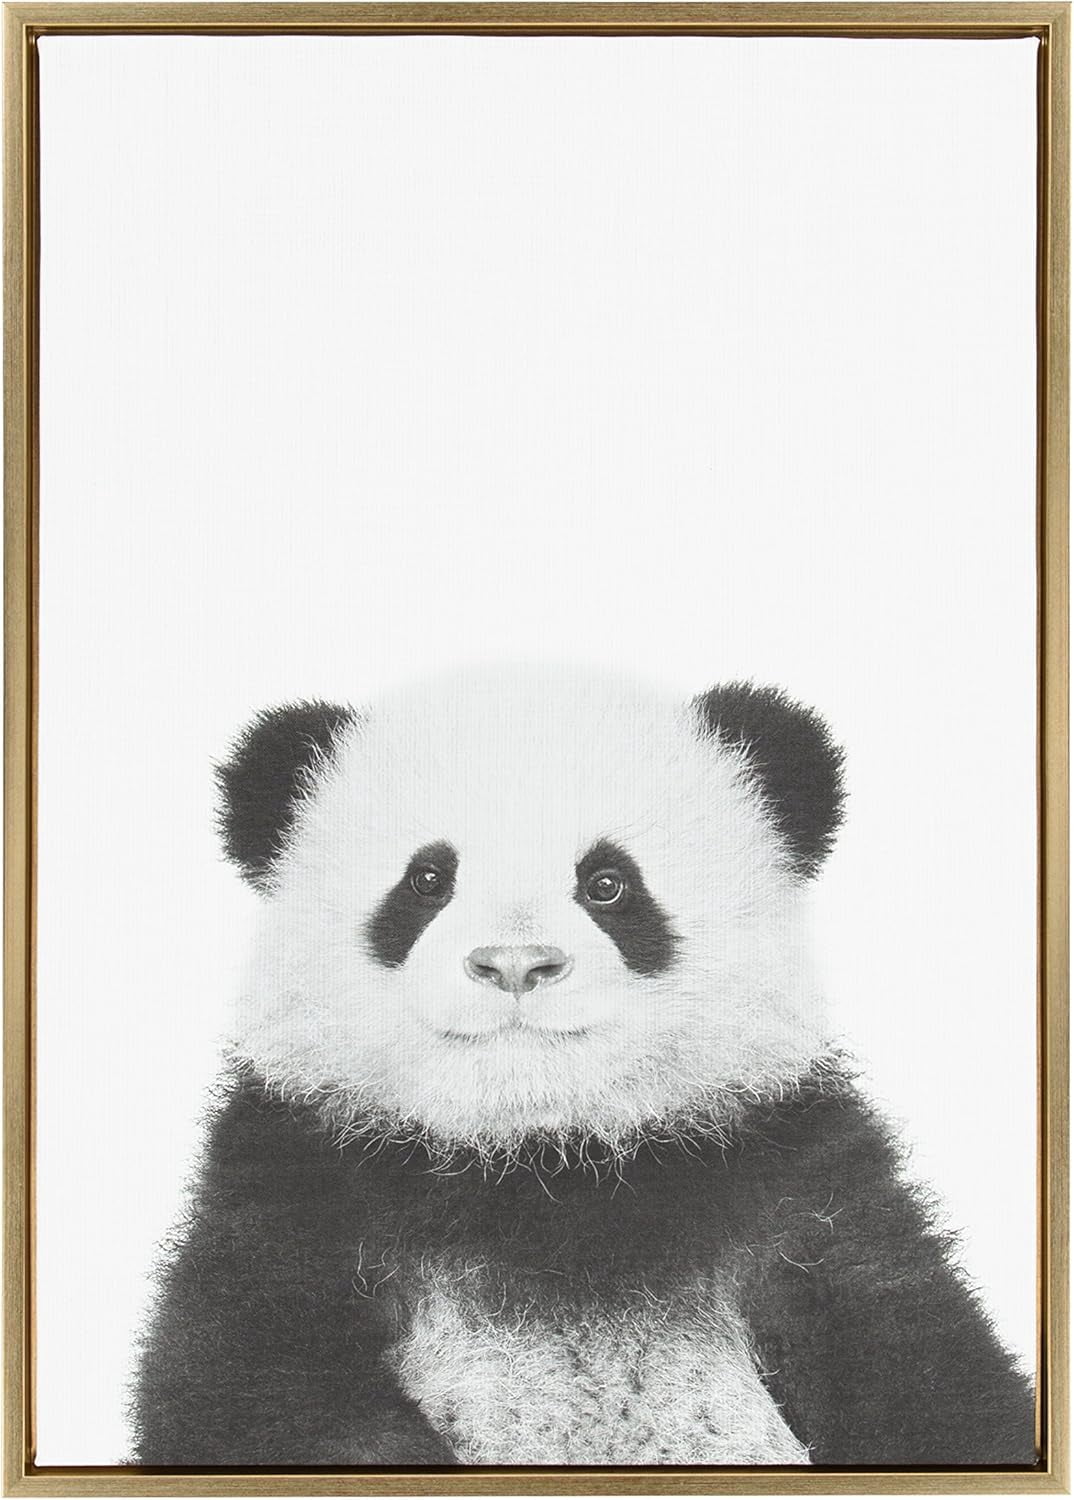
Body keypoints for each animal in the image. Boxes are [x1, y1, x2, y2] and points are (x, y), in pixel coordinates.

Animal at [133, 666, 1035, 1468]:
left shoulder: (792, 1172)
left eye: (608, 883)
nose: (515, 964)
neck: (544, 1161)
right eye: (426, 880)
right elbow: (246, 1383)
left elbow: (920, 1360)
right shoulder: (298, 1176)